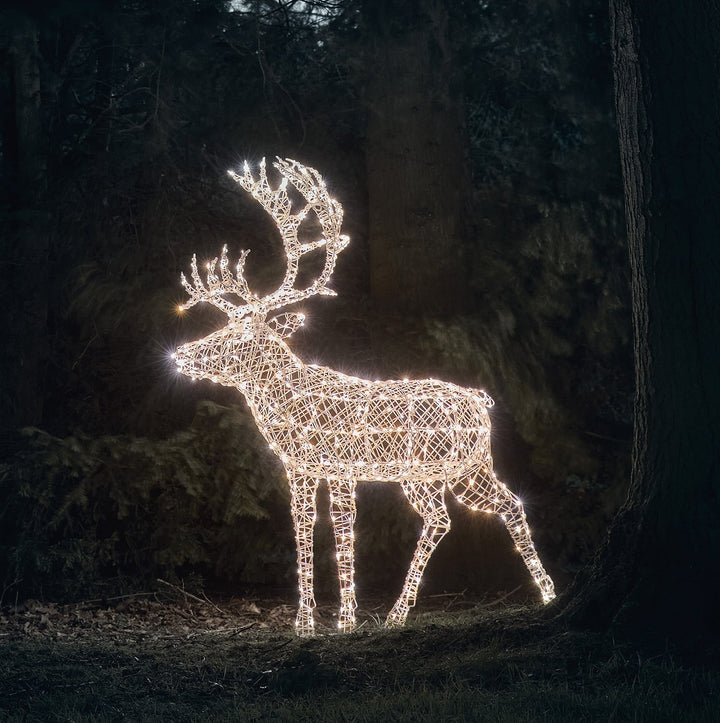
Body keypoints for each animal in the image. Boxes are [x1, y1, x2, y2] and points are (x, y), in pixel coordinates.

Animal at [172, 158, 555, 636]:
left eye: (237, 335)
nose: (180, 354)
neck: (285, 402)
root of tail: (480, 400)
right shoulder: (316, 468)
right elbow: (323, 527)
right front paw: (326, 620)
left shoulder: (325, 463)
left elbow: (328, 528)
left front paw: (327, 621)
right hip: (468, 467)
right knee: (499, 505)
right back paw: (545, 593)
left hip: (429, 468)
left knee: (447, 517)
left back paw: (399, 612)